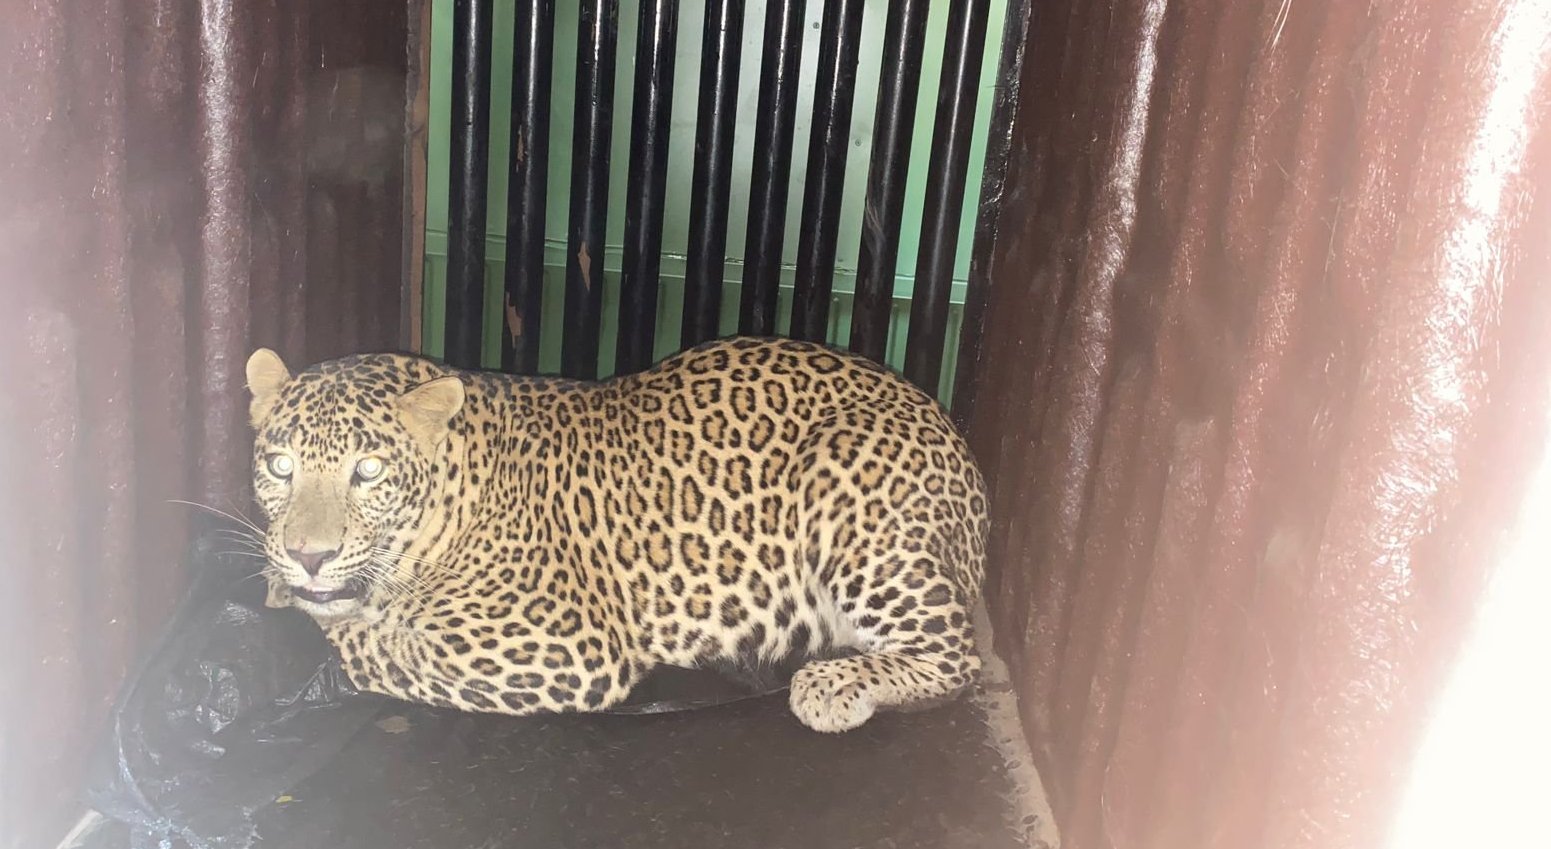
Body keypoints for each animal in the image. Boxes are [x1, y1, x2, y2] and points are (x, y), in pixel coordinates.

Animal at [244, 336, 989, 733]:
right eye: (280, 466)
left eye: (368, 471)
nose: (310, 557)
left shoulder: (562, 647)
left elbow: (377, 647)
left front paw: (311, 616)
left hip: (847, 486)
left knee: (957, 658)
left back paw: (830, 687)